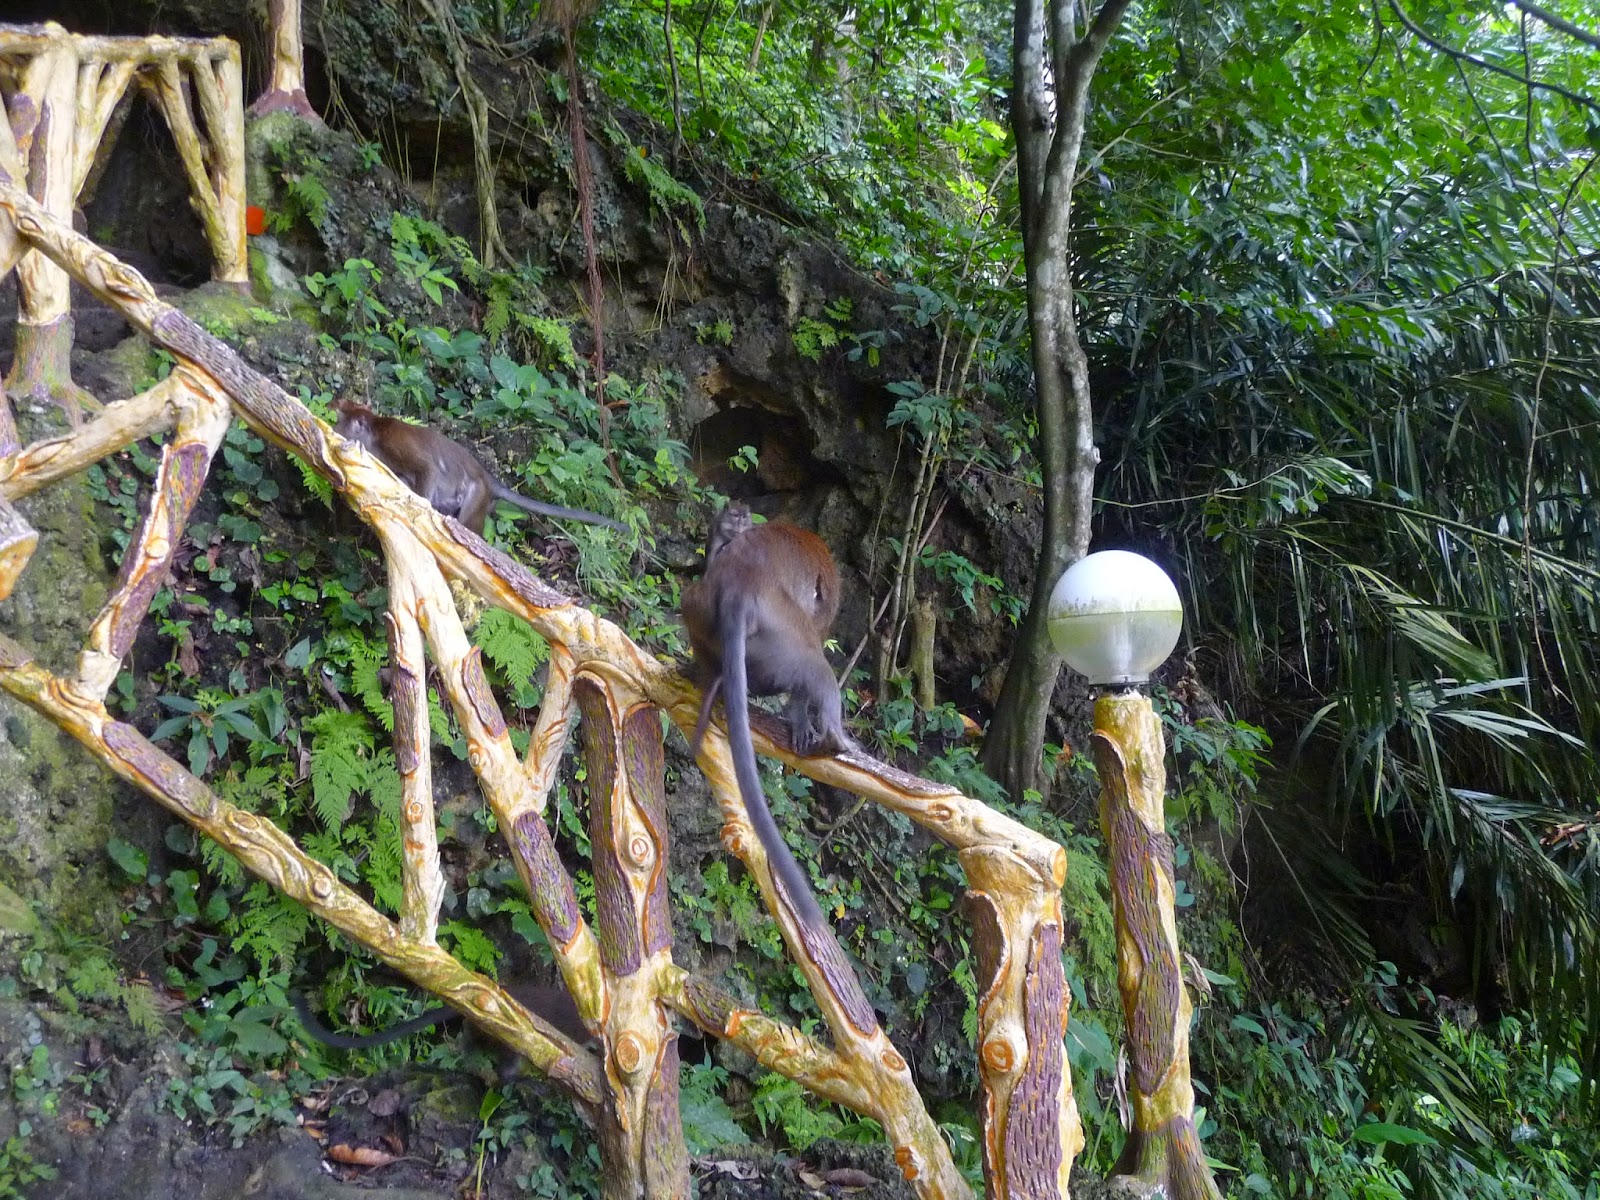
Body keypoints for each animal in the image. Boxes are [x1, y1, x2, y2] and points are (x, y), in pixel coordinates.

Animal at [331, 398, 626, 535]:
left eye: (338, 426)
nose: (330, 427)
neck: (375, 434)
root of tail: (486, 476)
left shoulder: (395, 443)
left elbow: (428, 470)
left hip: (477, 495)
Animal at [681, 504, 848, 931]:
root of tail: (741, 588)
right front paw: (802, 720)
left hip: (703, 611)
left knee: (689, 604)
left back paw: (704, 676)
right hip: (788, 635)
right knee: (816, 667)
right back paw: (833, 737)